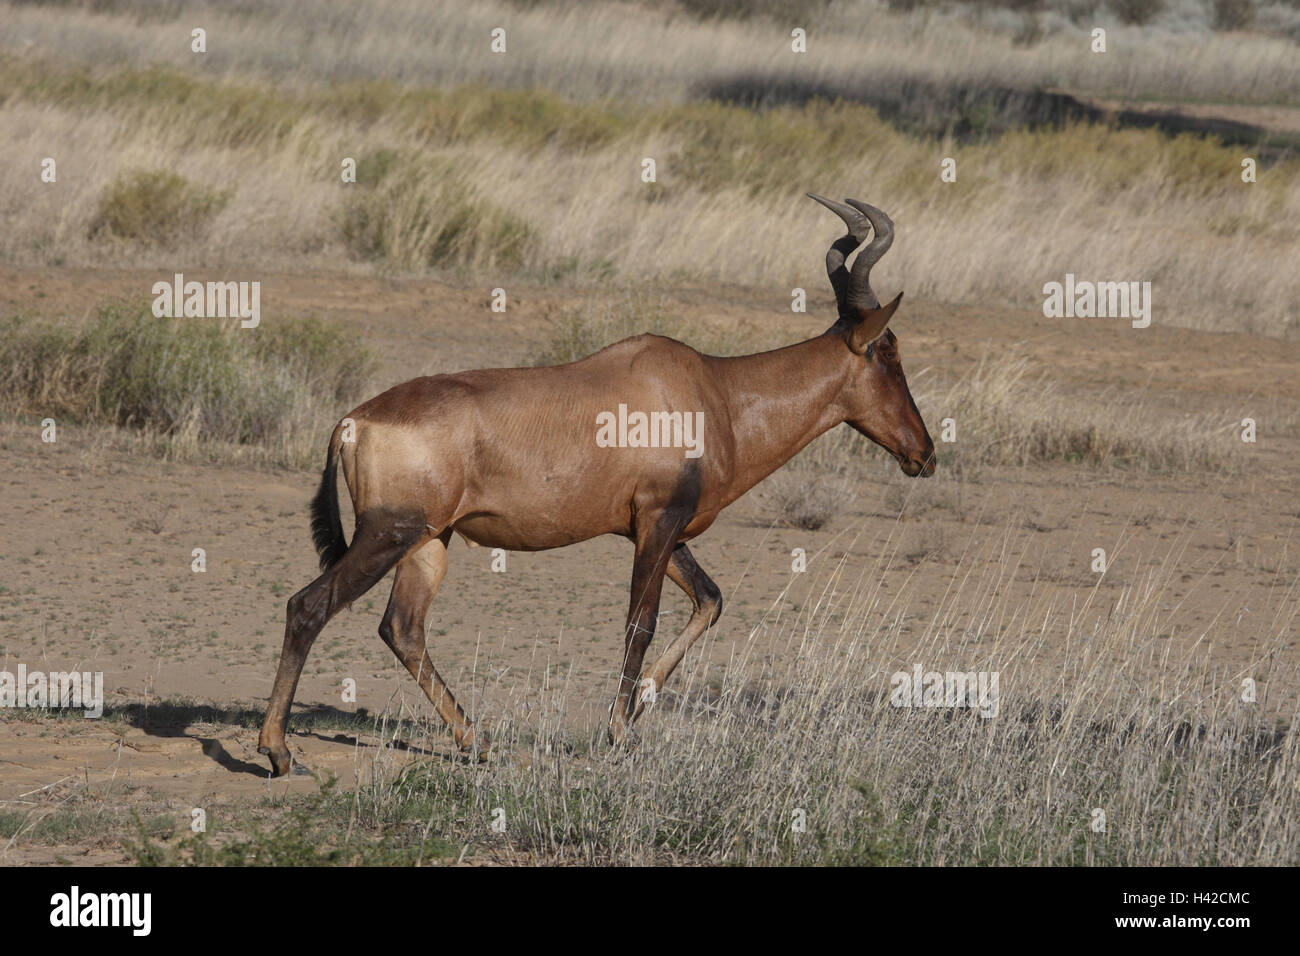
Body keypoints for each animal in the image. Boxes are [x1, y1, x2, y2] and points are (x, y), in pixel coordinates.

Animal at [257, 195, 935, 776]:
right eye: (888, 350)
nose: (924, 454)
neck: (709, 390)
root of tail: (354, 419)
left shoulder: (656, 528)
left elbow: (710, 601)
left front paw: (634, 713)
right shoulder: (658, 522)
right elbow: (641, 622)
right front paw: (618, 733)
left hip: (429, 541)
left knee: (402, 628)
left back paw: (477, 743)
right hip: (388, 534)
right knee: (308, 607)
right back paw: (280, 753)